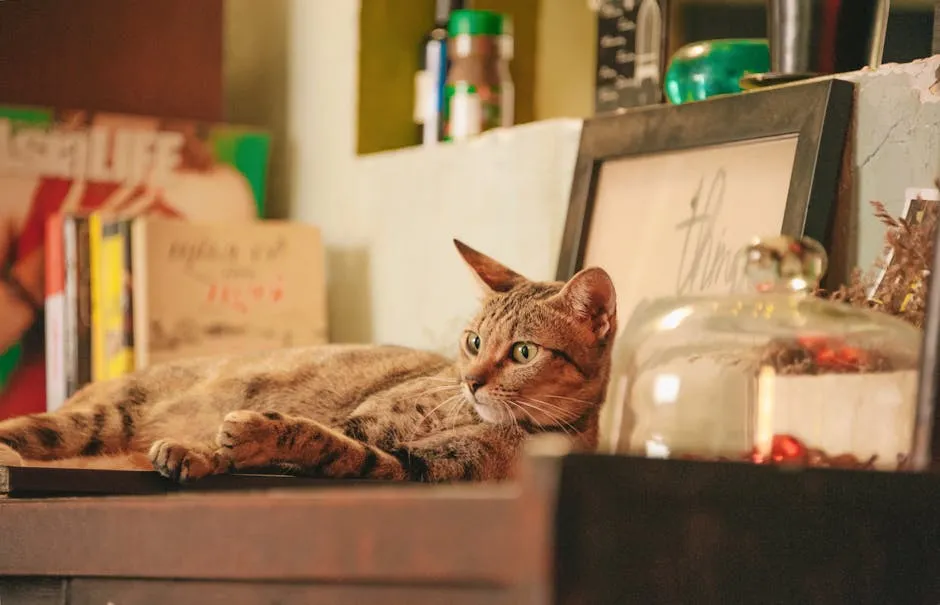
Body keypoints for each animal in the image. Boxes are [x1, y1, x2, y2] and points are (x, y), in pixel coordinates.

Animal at [0, 239, 616, 482]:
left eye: (523, 352)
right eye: (472, 342)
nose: (470, 382)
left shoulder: (408, 468)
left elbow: (324, 443)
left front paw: (244, 439)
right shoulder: (366, 421)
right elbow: (312, 430)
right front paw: (203, 449)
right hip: (104, 415)